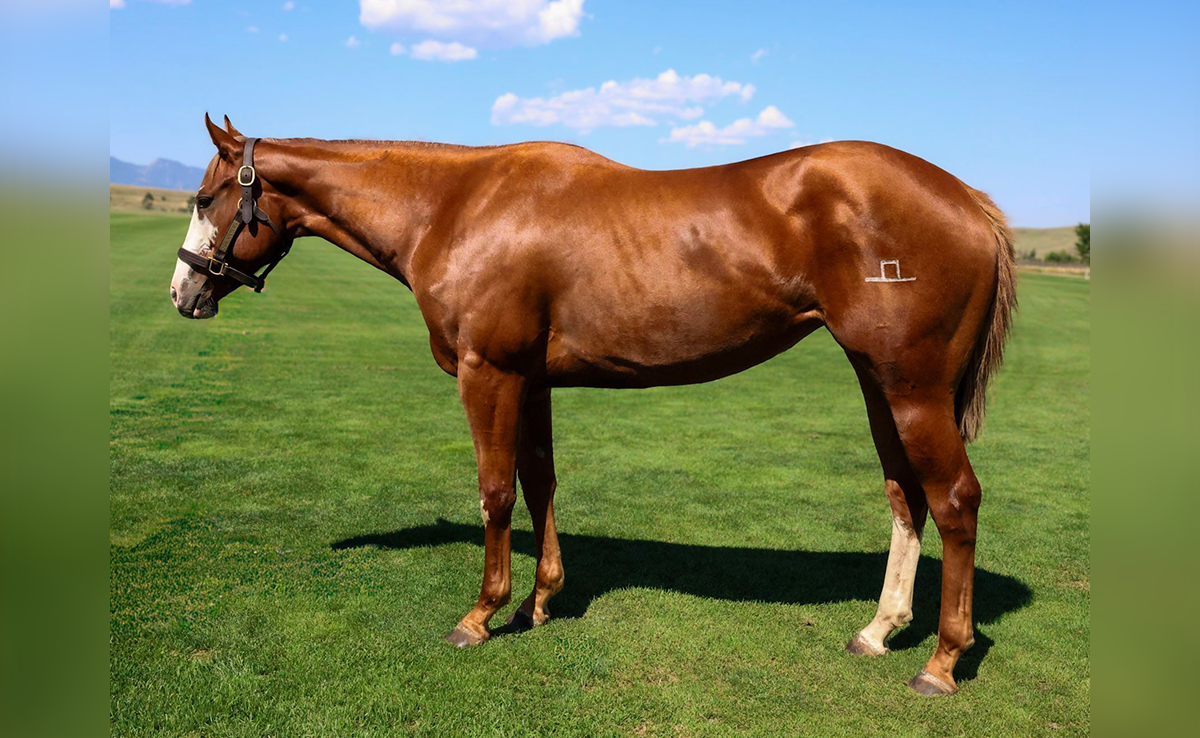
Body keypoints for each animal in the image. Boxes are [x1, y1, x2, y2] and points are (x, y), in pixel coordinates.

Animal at [170, 114, 1016, 696]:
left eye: (206, 196)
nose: (182, 294)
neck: (454, 205)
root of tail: (969, 200)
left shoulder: (488, 373)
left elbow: (495, 491)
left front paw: (480, 615)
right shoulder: (531, 380)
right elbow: (540, 482)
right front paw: (537, 604)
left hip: (912, 389)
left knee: (955, 499)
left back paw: (941, 660)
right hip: (880, 382)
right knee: (906, 496)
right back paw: (879, 630)